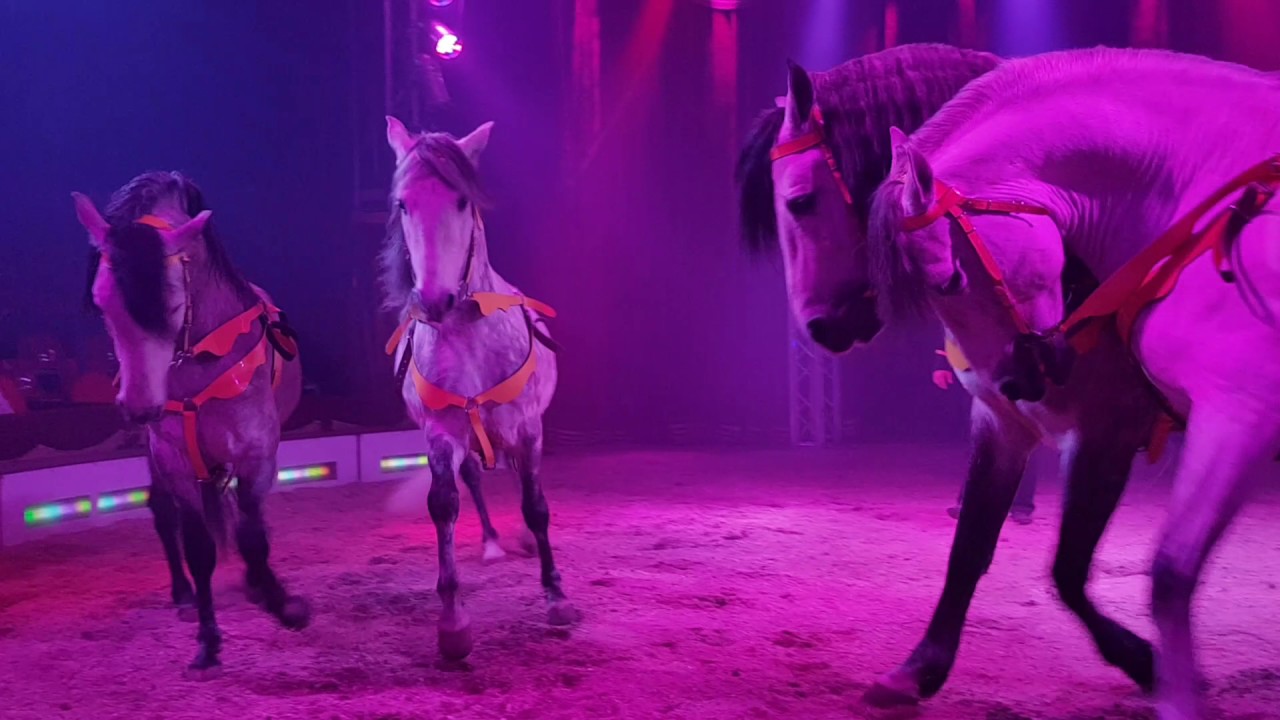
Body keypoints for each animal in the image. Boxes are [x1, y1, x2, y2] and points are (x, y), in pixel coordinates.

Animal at [73, 171, 310, 679]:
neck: (198, 359)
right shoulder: (173, 458)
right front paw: (208, 643)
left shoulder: (257, 453)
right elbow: (199, 547)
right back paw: (182, 594)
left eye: (172, 303)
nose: (139, 407)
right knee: (163, 514)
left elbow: (253, 535)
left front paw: (280, 603)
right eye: (101, 302)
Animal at [381, 116, 576, 661]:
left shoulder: (529, 427)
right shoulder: (442, 433)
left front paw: (556, 598)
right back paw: (490, 542)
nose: (433, 301)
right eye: (403, 204)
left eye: (462, 200)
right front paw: (452, 621)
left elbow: (536, 506)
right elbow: (444, 505)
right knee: (473, 479)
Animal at [740, 45, 1166, 708]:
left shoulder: (1107, 431)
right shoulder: (1002, 420)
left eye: (800, 202)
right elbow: (969, 548)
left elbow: (1068, 569)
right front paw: (921, 668)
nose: (819, 328)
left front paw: (1141, 658)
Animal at [875, 48, 1280, 720]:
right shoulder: (1005, 425)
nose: (1017, 377)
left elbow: (1156, 573)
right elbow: (972, 546)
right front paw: (918, 671)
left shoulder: (1220, 421)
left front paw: (1162, 677)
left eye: (949, 279)